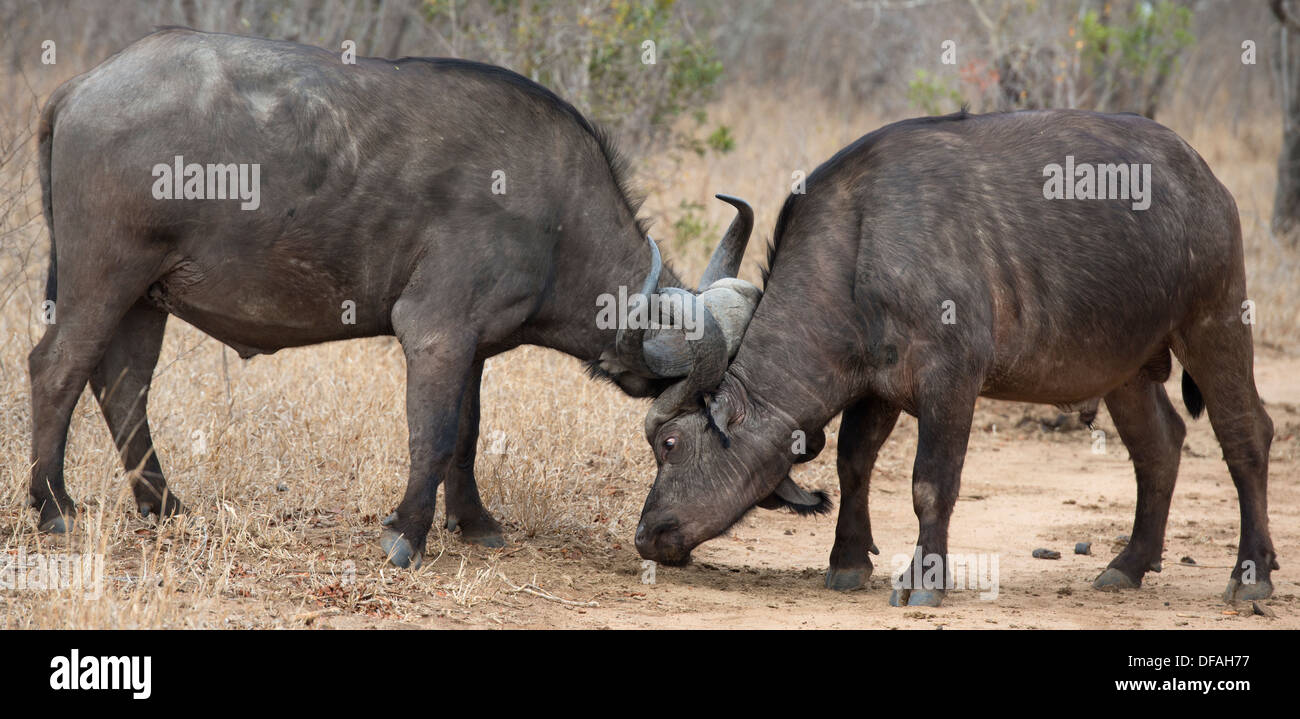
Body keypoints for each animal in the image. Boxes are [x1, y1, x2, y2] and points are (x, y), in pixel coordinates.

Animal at [30, 27, 773, 569]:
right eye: (680, 436)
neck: (558, 214)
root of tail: (78, 89)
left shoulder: (474, 347)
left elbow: (466, 434)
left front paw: (475, 523)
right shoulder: (435, 331)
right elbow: (434, 435)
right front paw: (406, 534)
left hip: (145, 297)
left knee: (122, 386)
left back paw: (162, 503)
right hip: (105, 275)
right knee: (57, 368)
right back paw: (53, 506)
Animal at [628, 109, 1279, 606]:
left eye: (670, 445)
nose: (646, 534)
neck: (860, 246)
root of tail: (1206, 182)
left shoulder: (952, 383)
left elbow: (930, 484)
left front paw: (924, 578)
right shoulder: (875, 387)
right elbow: (854, 465)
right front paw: (847, 560)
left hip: (1215, 323)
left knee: (1246, 434)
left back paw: (1250, 575)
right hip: (1126, 369)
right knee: (1160, 446)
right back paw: (1128, 564)